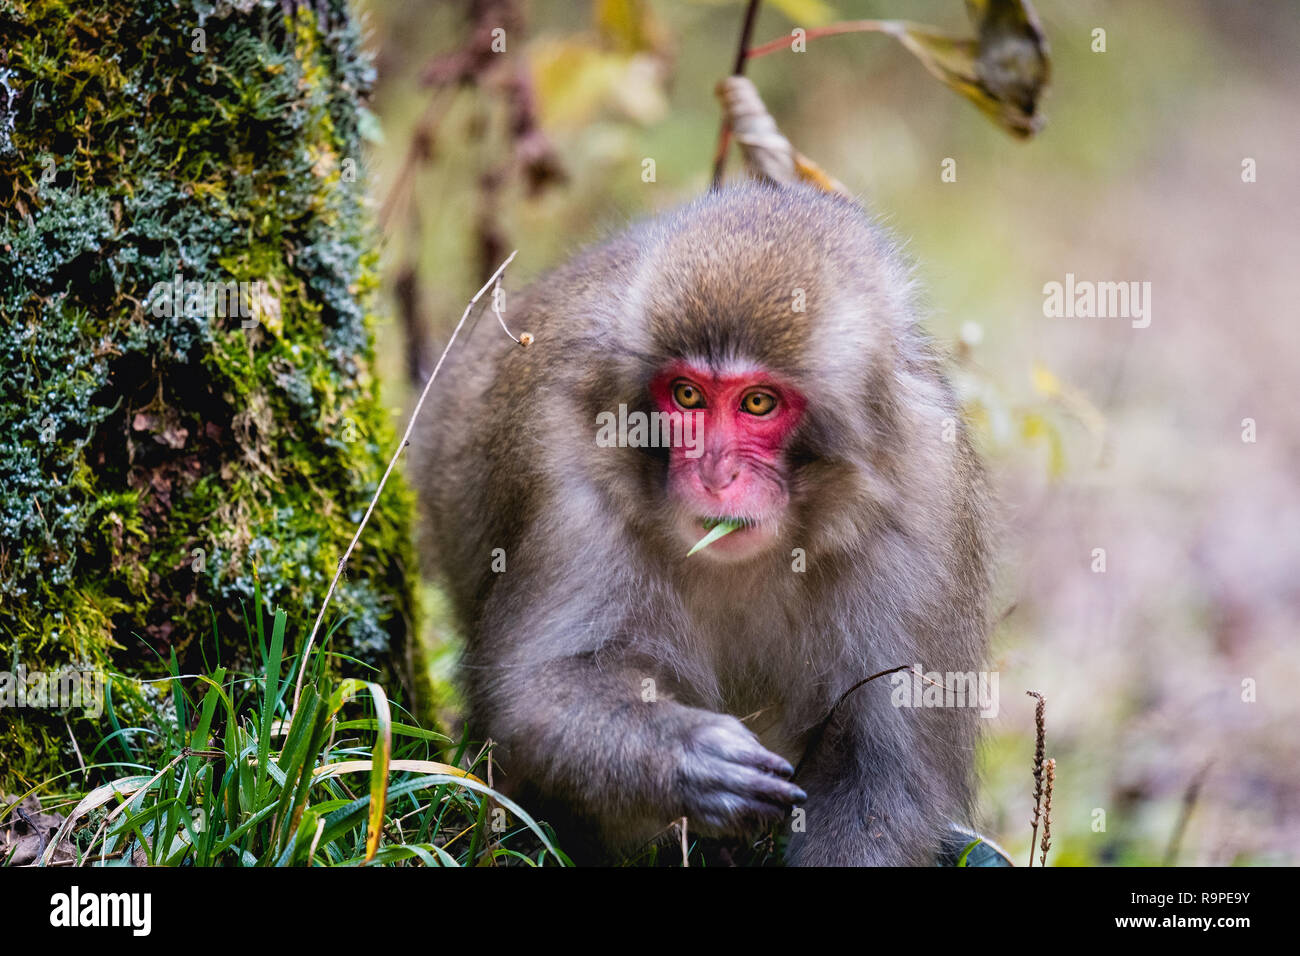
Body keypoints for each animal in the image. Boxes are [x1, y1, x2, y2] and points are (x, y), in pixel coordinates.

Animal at [415, 179, 993, 866]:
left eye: (758, 403)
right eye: (687, 395)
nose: (715, 475)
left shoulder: (922, 511)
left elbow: (881, 778)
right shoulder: (574, 484)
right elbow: (534, 692)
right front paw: (689, 758)